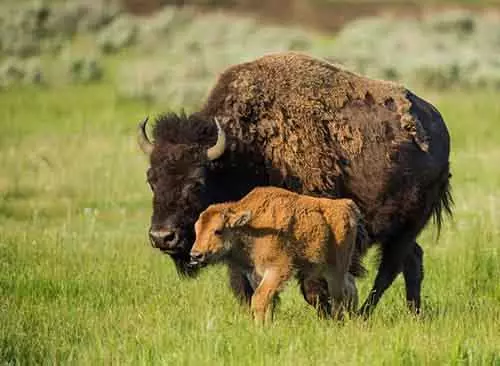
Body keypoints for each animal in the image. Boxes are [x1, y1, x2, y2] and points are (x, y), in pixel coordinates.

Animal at [188, 187, 368, 324]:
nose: (195, 255)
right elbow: (269, 301)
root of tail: (347, 205)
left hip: (335, 269)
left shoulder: (278, 269)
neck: (251, 226)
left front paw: (260, 328)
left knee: (339, 295)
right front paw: (267, 325)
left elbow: (259, 299)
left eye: (218, 230)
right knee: (350, 286)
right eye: (196, 229)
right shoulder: (257, 274)